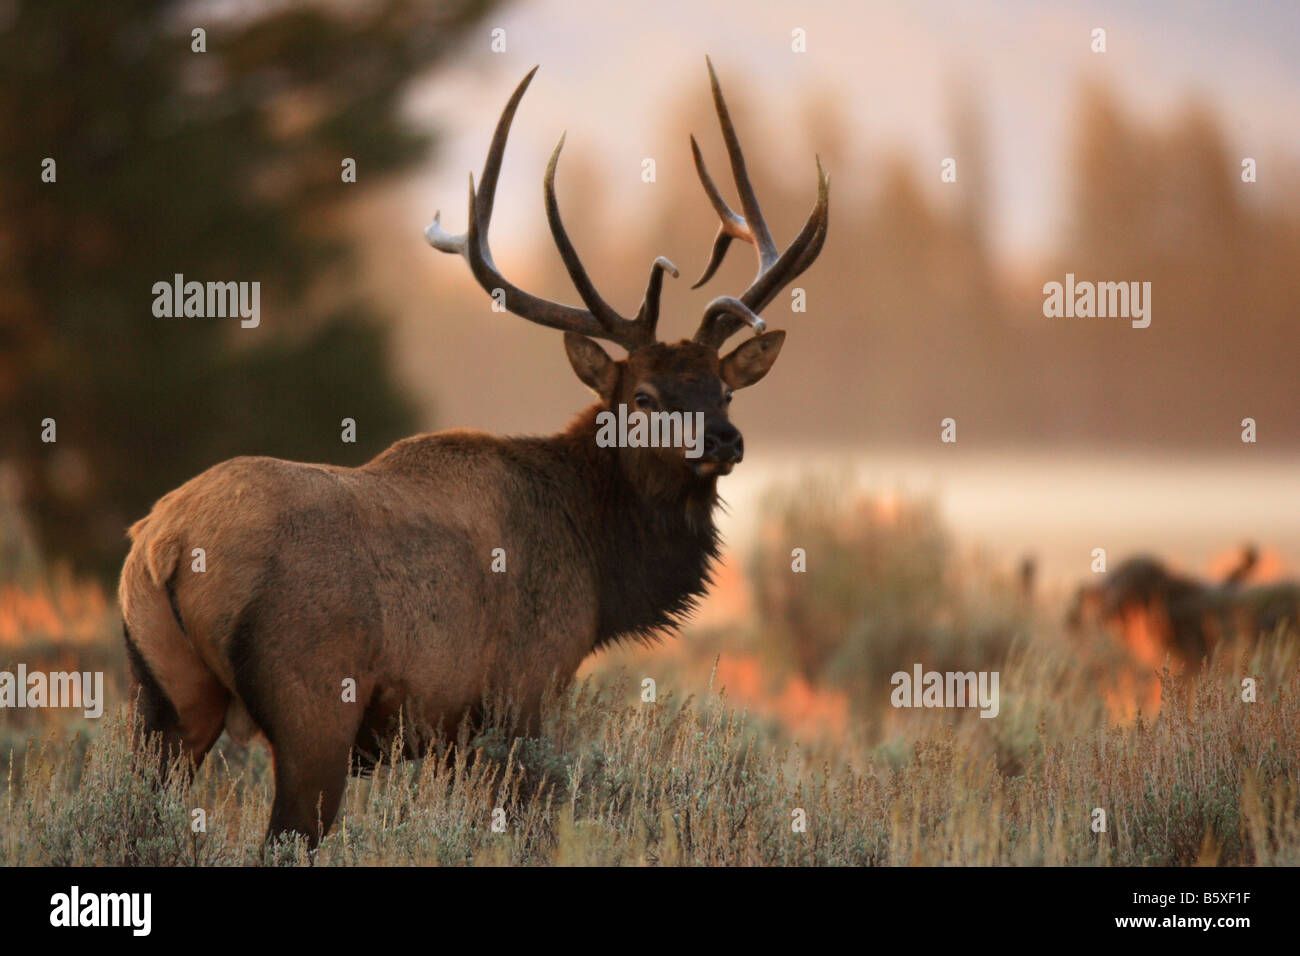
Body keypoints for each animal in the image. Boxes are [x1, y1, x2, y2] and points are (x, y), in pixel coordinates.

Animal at [118, 58, 829, 847]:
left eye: (723, 390)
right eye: (643, 396)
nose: (725, 440)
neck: (598, 566)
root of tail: (163, 546)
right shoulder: (522, 691)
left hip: (165, 699)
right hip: (313, 706)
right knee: (288, 832)